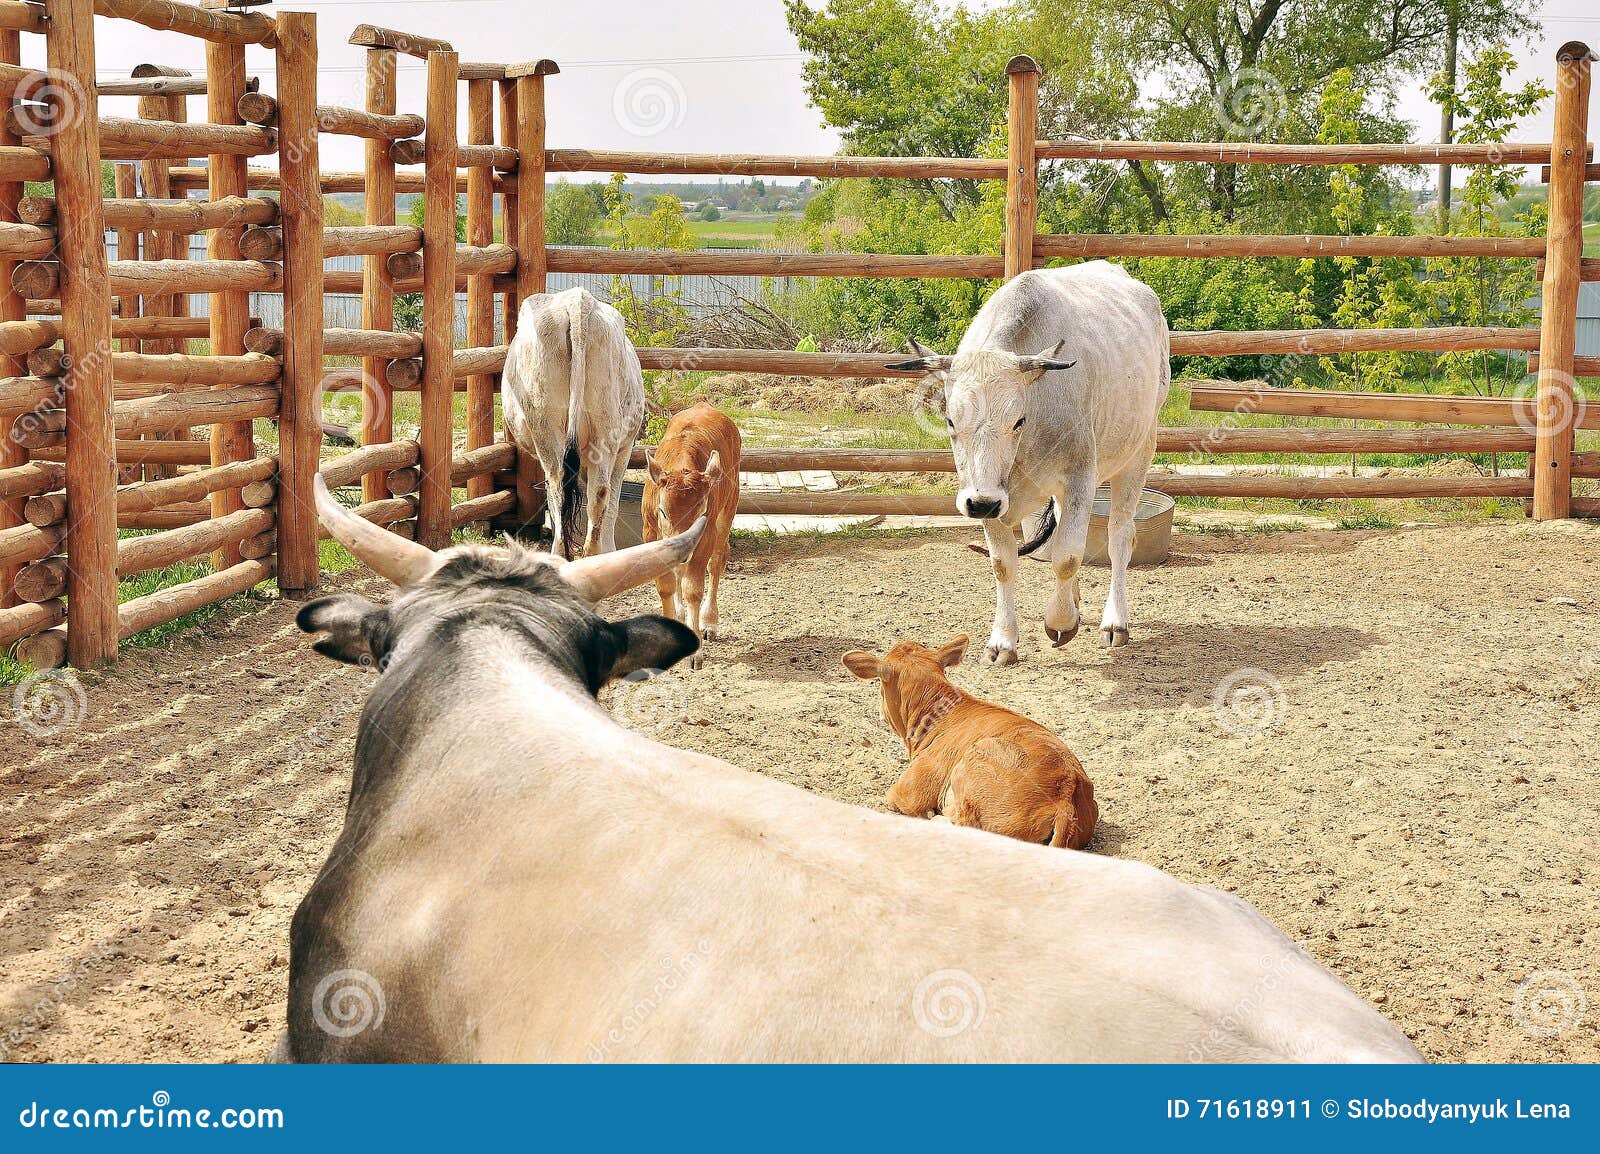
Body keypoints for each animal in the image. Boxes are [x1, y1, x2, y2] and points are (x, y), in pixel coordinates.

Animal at [502, 285, 644, 559]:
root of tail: (578, 300)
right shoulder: (624, 449)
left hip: (549, 429)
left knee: (562, 488)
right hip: (602, 429)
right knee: (597, 492)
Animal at [644, 402, 741, 668]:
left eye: (701, 512)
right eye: (663, 511)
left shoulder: (705, 536)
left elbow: (693, 589)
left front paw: (696, 653)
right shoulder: (650, 532)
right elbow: (665, 585)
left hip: (729, 508)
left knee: (717, 560)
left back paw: (709, 622)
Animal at [889, 261, 1170, 665]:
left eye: (1018, 421)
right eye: (950, 420)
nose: (982, 503)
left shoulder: (1080, 476)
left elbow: (1067, 556)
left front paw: (1060, 622)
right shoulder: (989, 496)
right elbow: (1003, 563)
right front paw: (1002, 642)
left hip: (1138, 453)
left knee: (1120, 536)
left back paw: (1114, 621)